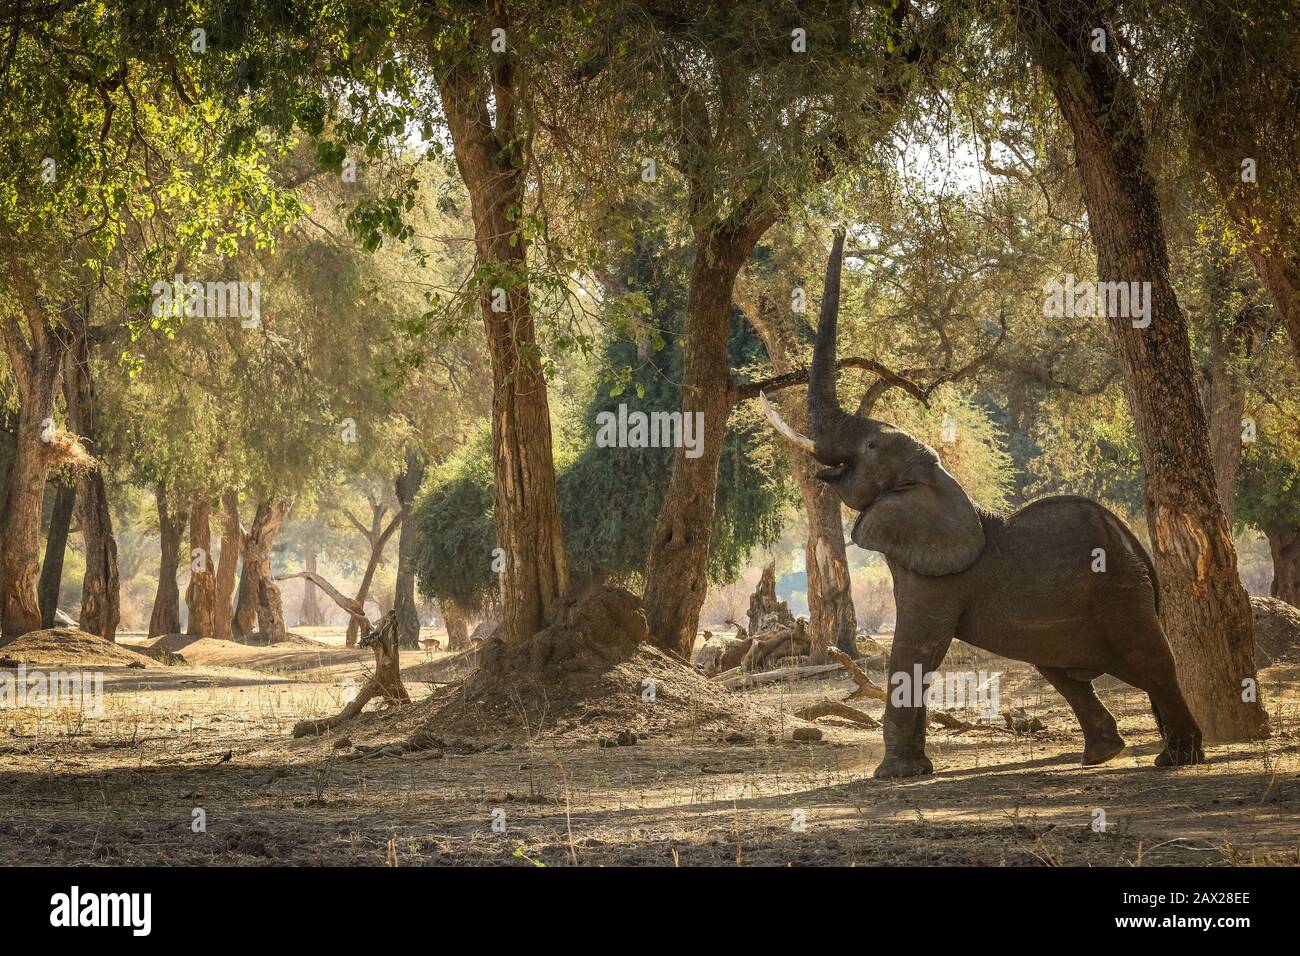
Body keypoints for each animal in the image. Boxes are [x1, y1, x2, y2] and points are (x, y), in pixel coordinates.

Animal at [759, 230, 1204, 778]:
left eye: (870, 446)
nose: (841, 228)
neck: (937, 480)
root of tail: (1136, 544)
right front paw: (914, 771)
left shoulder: (938, 577)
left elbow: (917, 648)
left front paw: (893, 775)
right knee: (1060, 668)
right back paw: (1104, 754)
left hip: (1123, 594)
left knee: (1152, 664)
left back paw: (1174, 758)